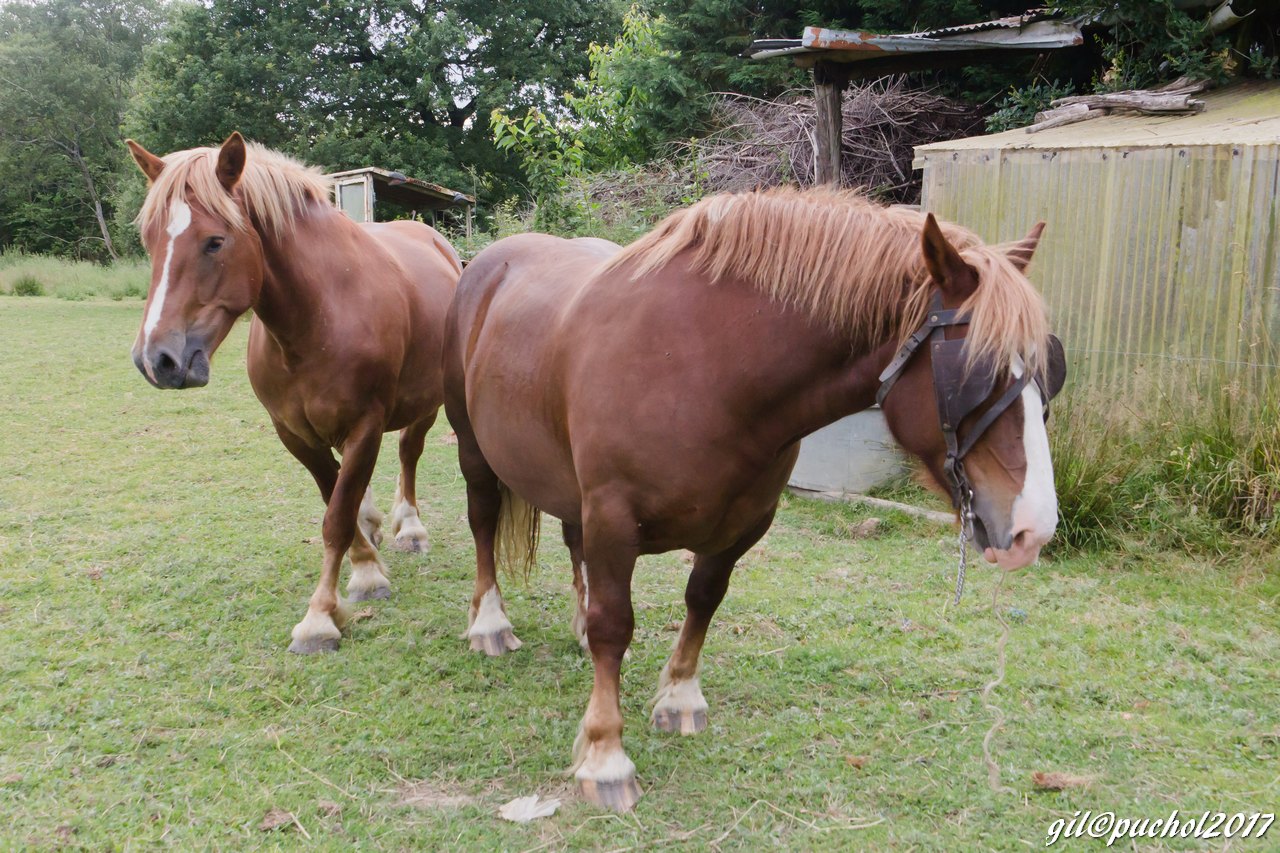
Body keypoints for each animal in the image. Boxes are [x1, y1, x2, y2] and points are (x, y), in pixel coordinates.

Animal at [125, 132, 461, 654]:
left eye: (215, 241)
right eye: (149, 240)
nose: (156, 359)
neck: (320, 313)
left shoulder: (366, 426)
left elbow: (336, 518)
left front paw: (322, 615)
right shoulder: (294, 433)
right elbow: (335, 501)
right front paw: (364, 567)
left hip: (427, 402)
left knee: (409, 453)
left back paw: (410, 528)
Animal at [442, 187, 1063, 811]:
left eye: (1047, 371)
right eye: (975, 371)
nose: (1033, 528)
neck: (702, 368)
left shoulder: (741, 525)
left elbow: (703, 599)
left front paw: (679, 698)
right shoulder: (613, 519)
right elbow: (614, 625)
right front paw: (605, 756)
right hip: (476, 452)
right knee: (483, 522)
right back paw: (489, 624)